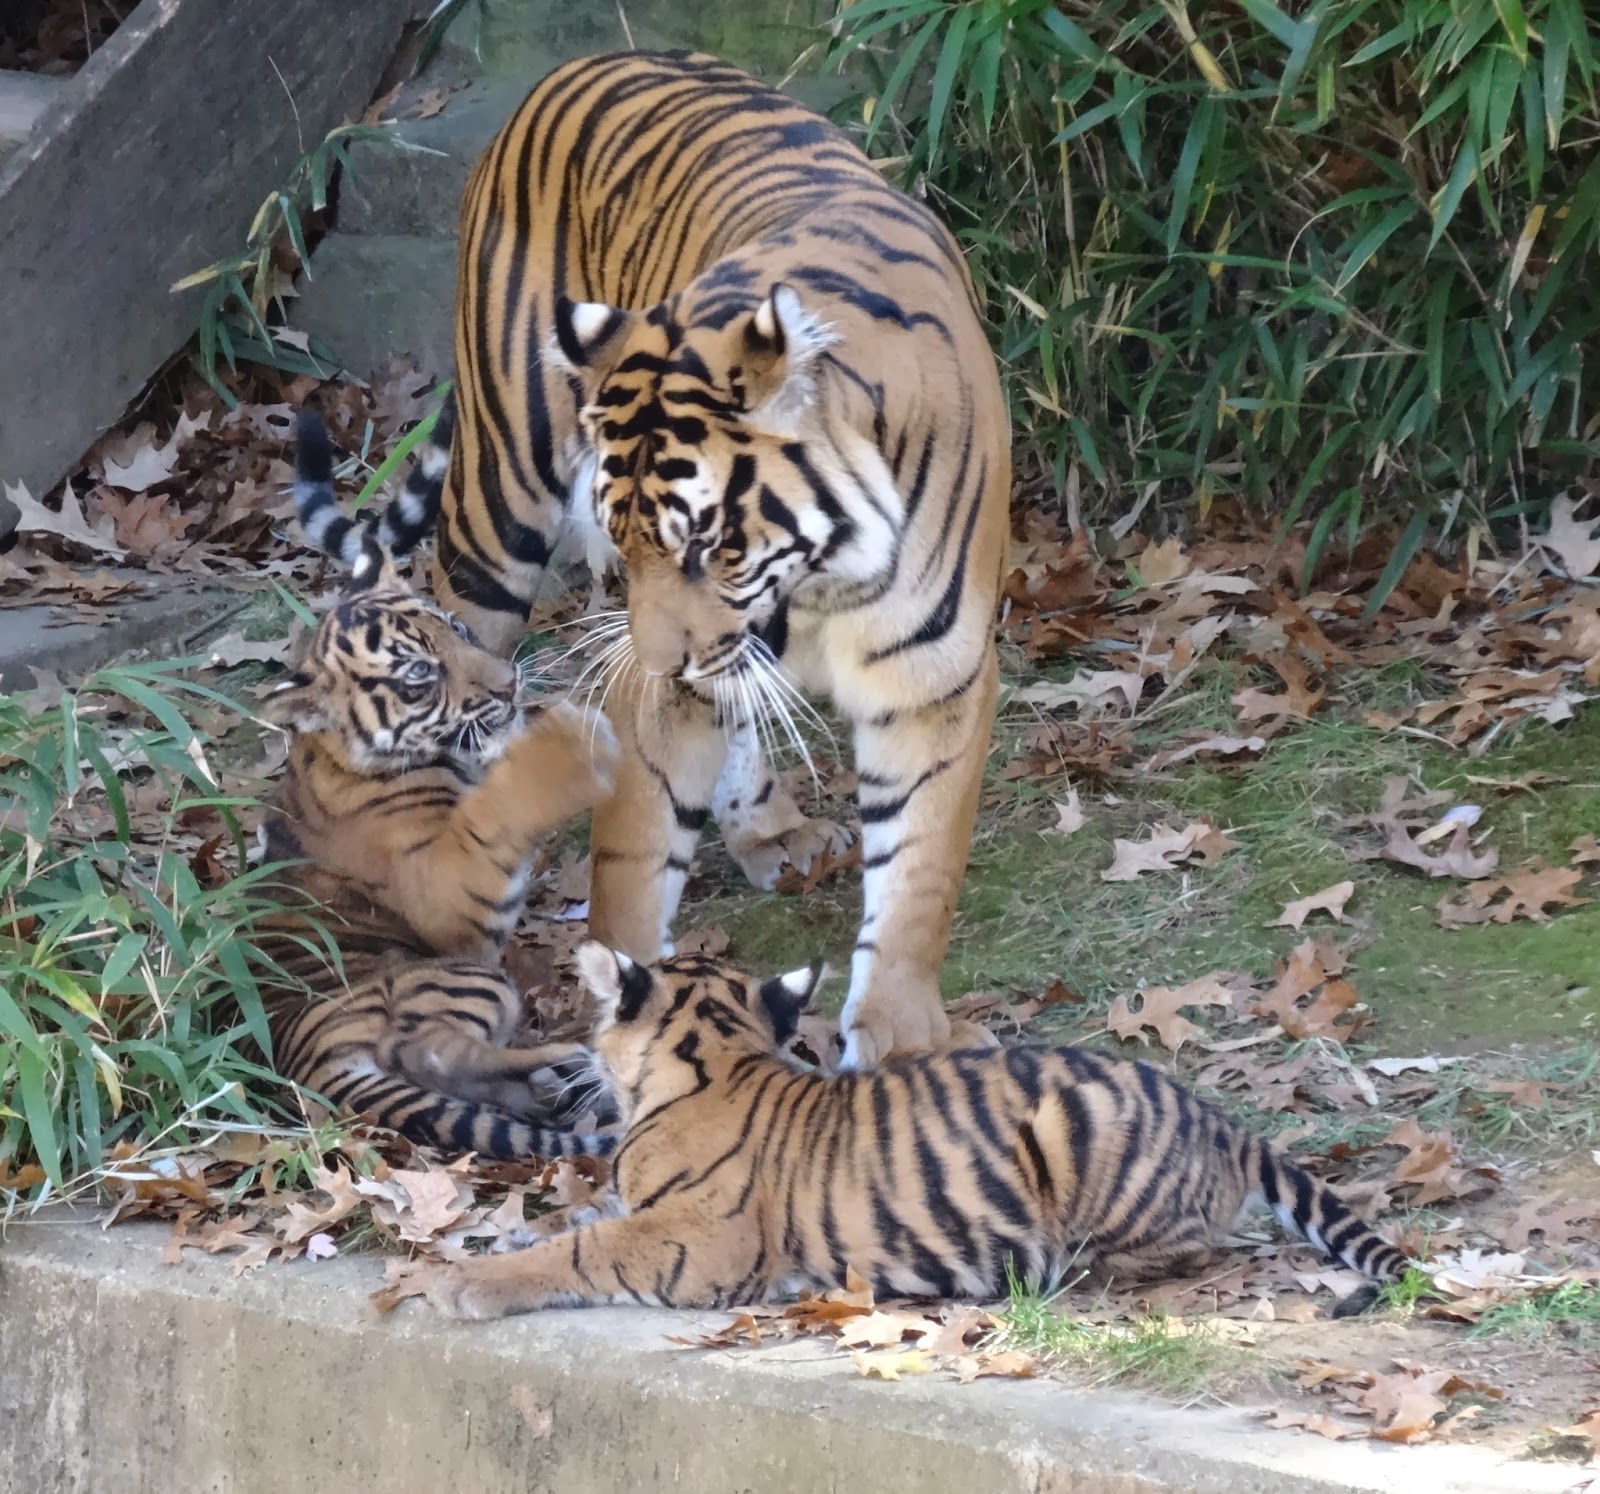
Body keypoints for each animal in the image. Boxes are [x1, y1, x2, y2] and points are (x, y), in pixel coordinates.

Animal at [245, 410, 622, 1160]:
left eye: (454, 629)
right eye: (421, 676)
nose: (509, 686)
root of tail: (307, 1061)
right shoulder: (446, 894)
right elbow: (492, 814)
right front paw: (571, 745)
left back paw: (554, 1088)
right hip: (457, 977)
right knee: (429, 1051)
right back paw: (573, 1063)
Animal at [404, 48, 1011, 1070]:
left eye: (712, 543)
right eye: (623, 535)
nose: (659, 664)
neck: (817, 587)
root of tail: (579, 61)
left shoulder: (933, 671)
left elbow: (918, 866)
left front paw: (897, 1033)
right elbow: (632, 860)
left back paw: (773, 830)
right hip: (497, 504)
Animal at [415, 946, 1411, 1319]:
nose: (578, 1065)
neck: (716, 1060)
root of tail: (1215, 1116)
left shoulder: (694, 1245)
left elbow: (584, 1252)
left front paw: (468, 1282)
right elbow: (582, 1225)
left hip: (1083, 1144)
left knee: (1186, 1250)